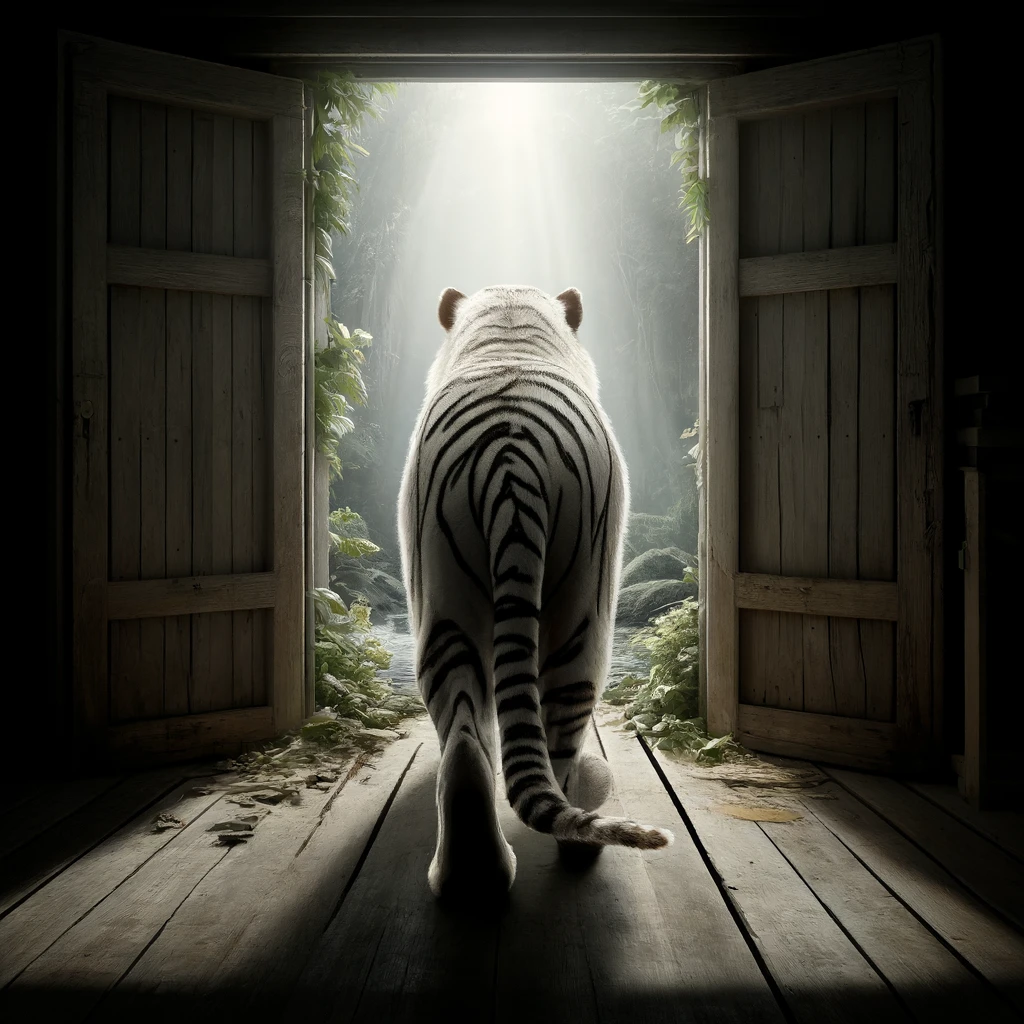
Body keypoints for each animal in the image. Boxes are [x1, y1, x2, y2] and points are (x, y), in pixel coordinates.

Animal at [397, 284, 673, 900]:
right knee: (561, 731)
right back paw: (580, 834)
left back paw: (470, 880)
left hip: (443, 606)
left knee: (465, 736)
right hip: (584, 615)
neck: (509, 329)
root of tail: (510, 462)